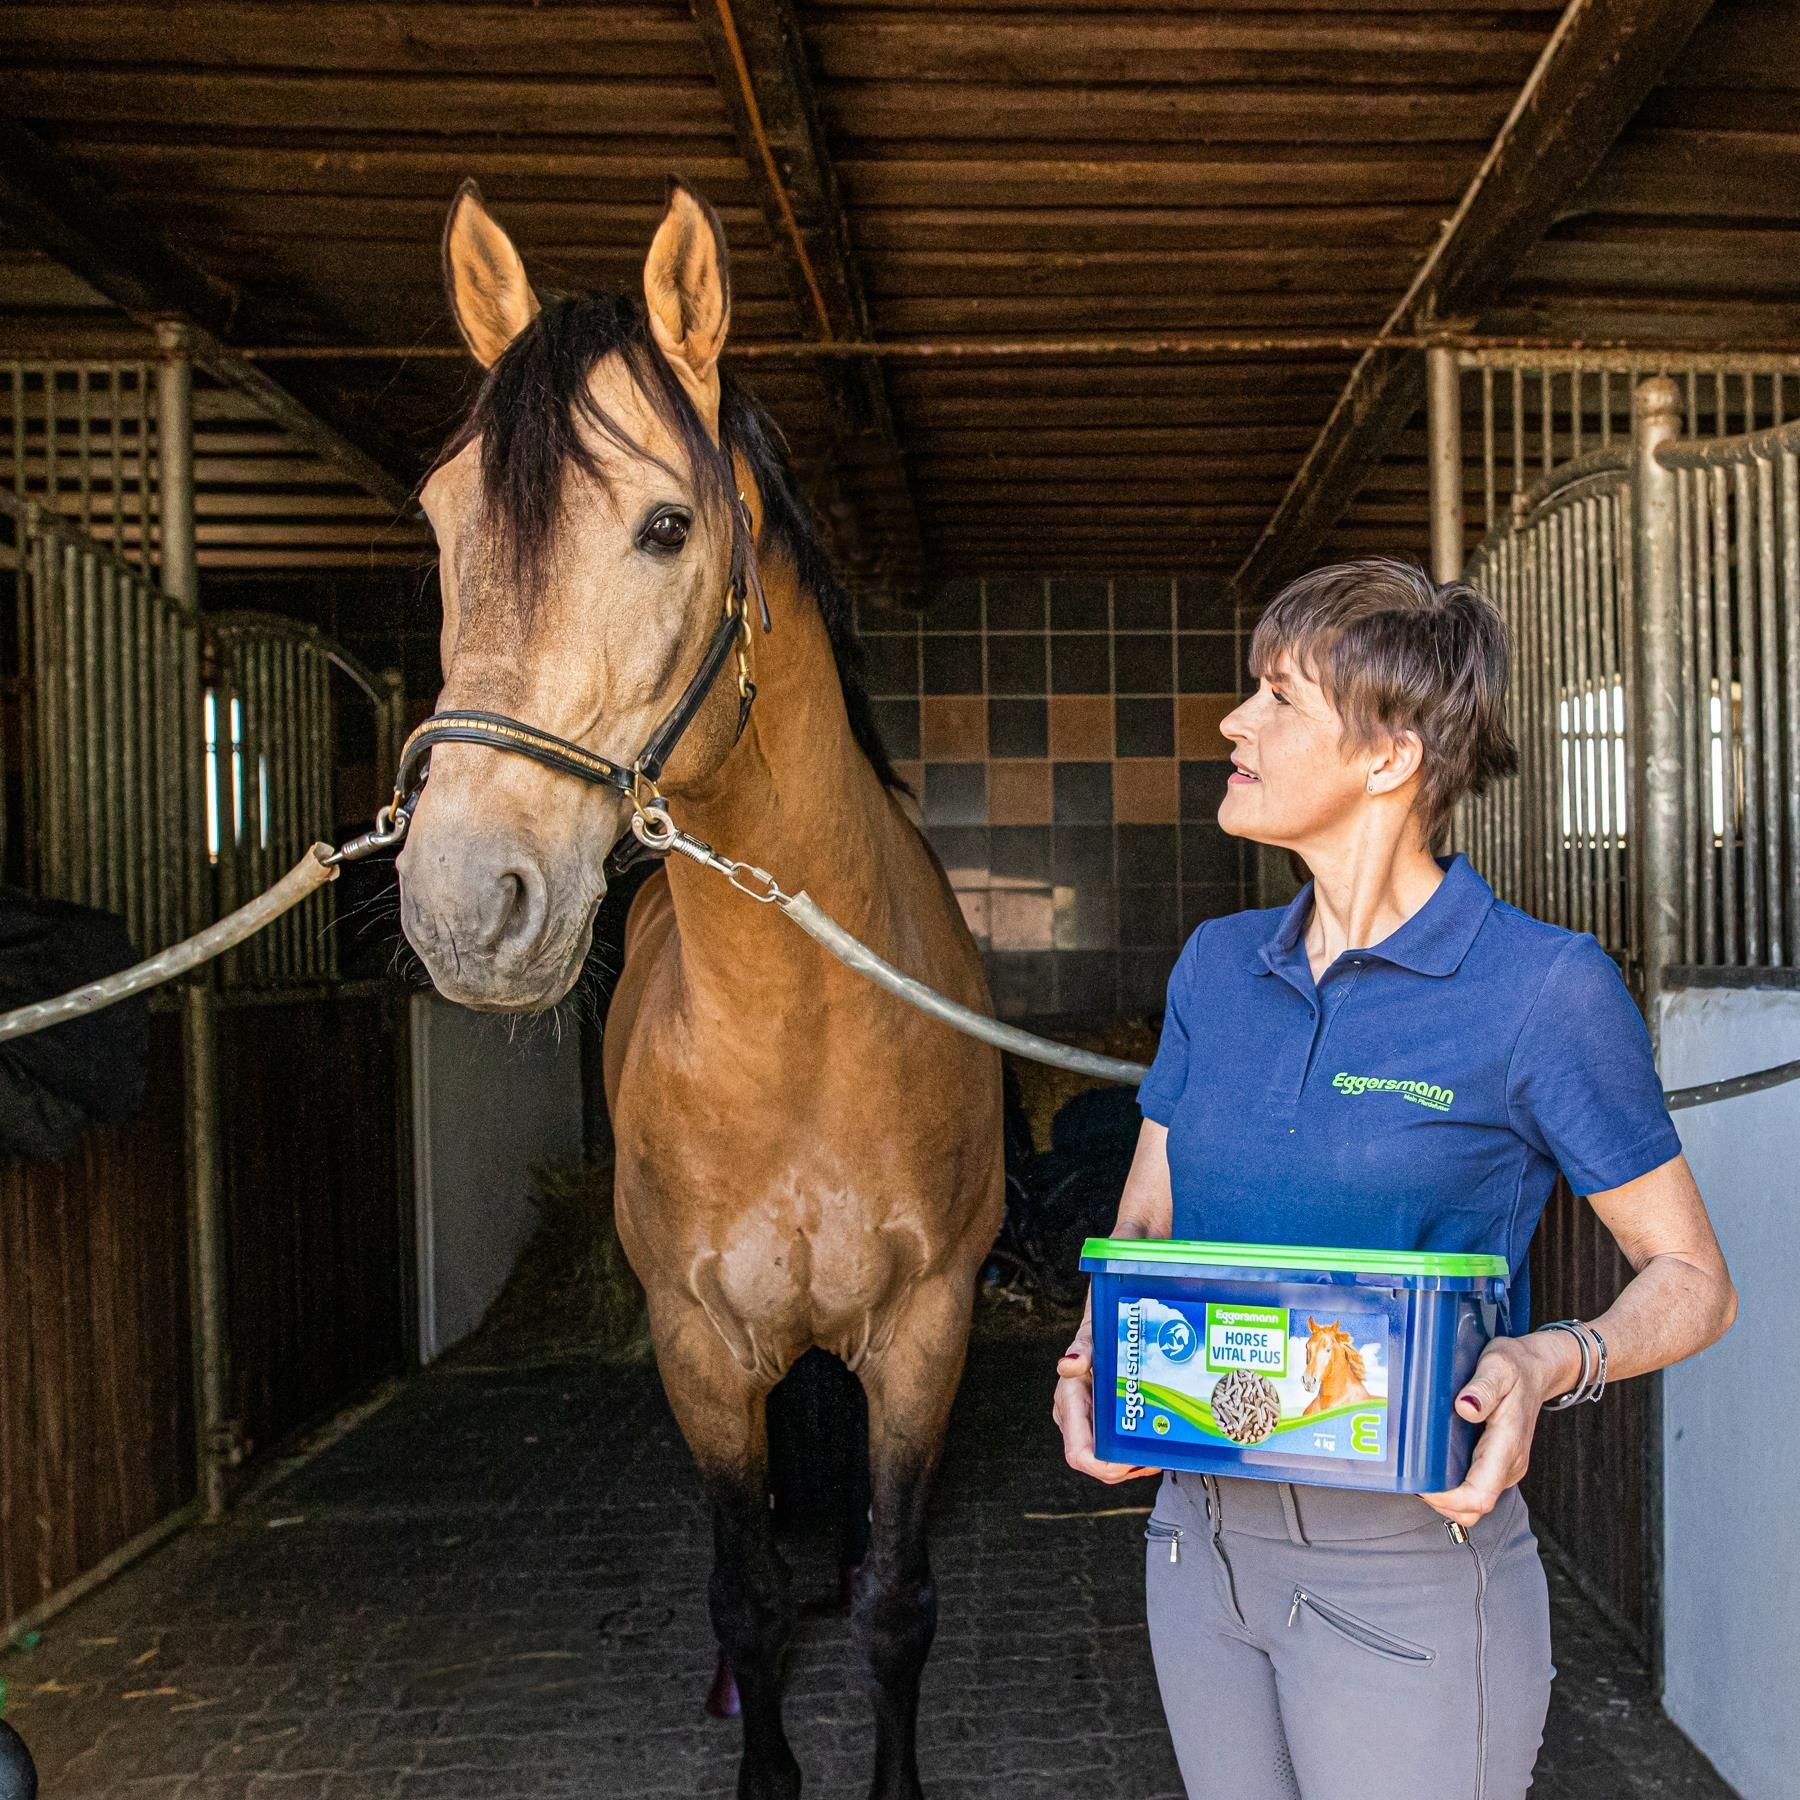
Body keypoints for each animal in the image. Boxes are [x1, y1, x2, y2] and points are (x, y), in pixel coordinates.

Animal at [395, 179, 1004, 1800]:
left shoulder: (926, 1335)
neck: (797, 1031)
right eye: (441, 519)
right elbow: (745, 1599)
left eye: (666, 527)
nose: (463, 903)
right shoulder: (697, 1349)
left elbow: (902, 1605)